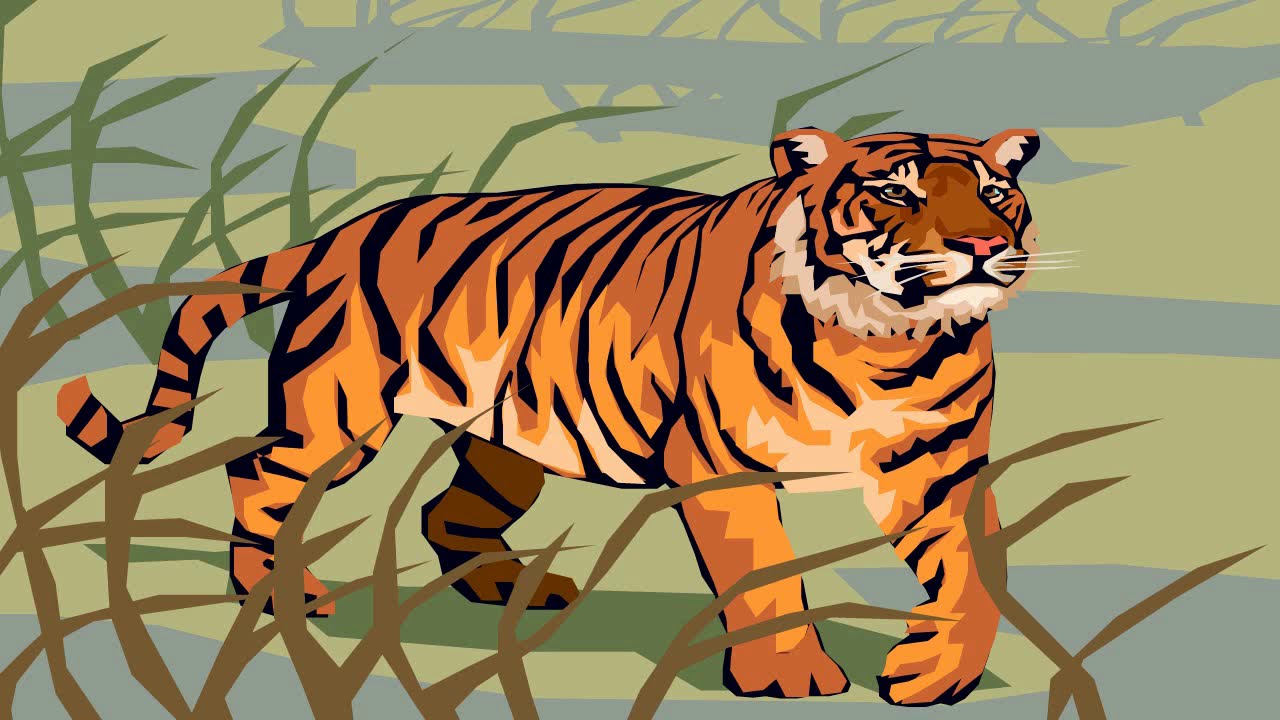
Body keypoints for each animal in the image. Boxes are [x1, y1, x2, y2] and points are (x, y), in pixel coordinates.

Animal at [56, 126, 1040, 706]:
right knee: (258, 474)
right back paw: (279, 593)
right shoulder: (723, 469)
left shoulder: (941, 468)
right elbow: (762, 571)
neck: (886, 342)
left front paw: (936, 674)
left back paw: (506, 587)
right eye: (898, 193)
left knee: (442, 511)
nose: (983, 246)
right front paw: (787, 676)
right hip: (339, 420)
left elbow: (974, 573)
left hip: (507, 443)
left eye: (996, 195)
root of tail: (339, 234)